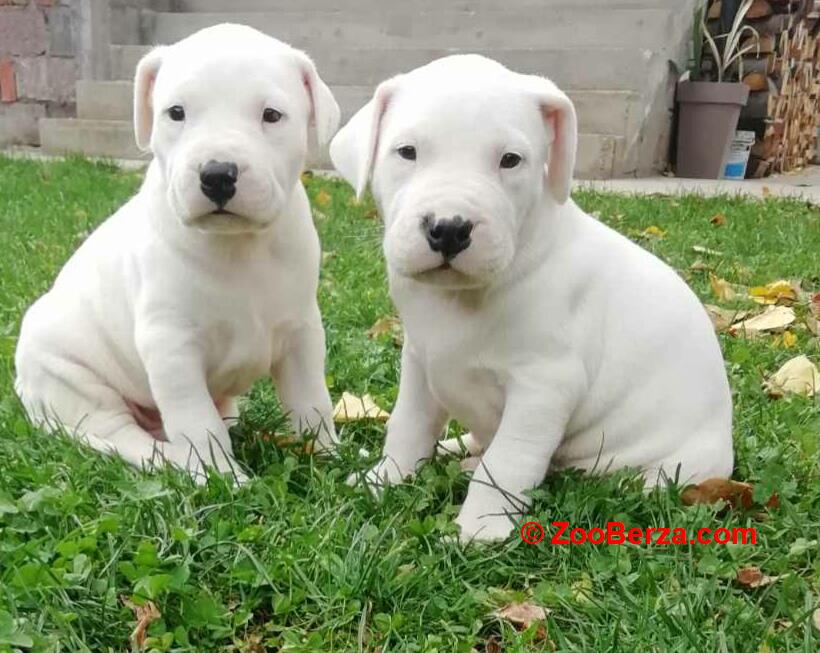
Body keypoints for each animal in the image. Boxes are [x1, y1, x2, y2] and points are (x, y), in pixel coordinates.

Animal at [16, 25, 342, 478]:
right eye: (176, 113)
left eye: (272, 115)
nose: (218, 174)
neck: (239, 246)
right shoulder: (171, 346)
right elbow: (197, 421)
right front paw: (222, 476)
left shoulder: (301, 333)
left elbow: (312, 402)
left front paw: (331, 458)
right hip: (74, 382)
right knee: (125, 439)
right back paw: (174, 462)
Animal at [330, 56, 732, 544]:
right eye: (406, 152)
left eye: (510, 160)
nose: (449, 228)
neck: (460, 298)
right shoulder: (421, 364)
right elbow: (407, 426)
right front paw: (383, 479)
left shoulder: (544, 386)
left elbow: (508, 459)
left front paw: (479, 530)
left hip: (670, 468)